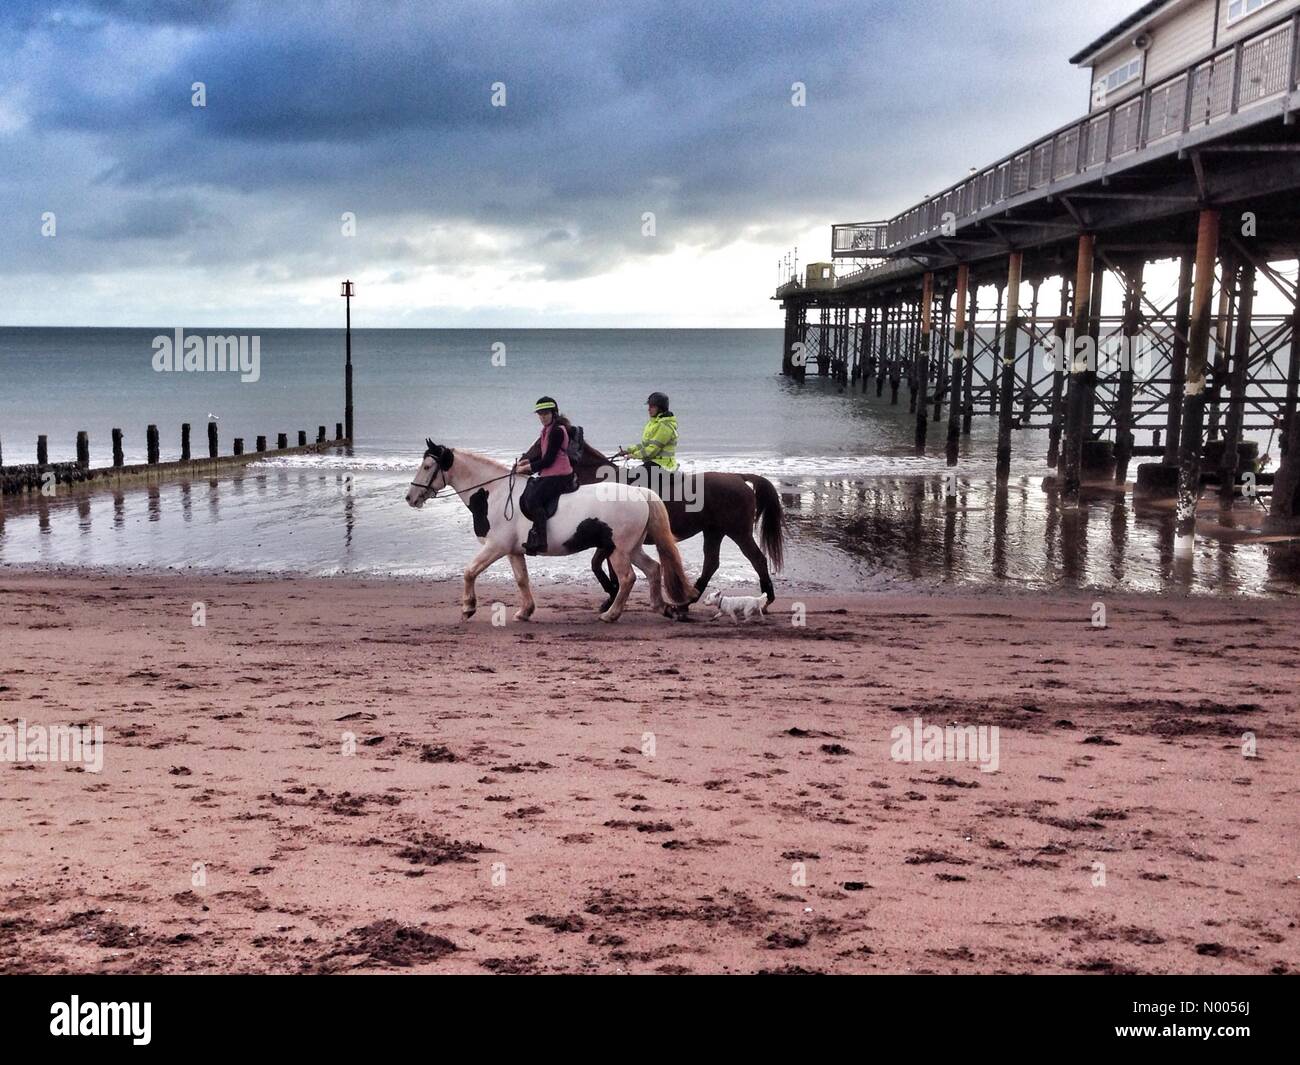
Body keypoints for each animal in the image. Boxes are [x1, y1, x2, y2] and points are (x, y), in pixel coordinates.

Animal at [405, 440, 691, 623]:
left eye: (428, 467)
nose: (410, 498)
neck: (494, 494)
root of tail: (641, 493)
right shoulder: (513, 551)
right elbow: (522, 579)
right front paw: (525, 611)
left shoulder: (495, 547)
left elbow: (469, 571)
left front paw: (467, 608)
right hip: (631, 548)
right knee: (653, 569)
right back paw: (661, 607)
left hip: (618, 550)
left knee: (628, 578)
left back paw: (611, 614)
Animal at [569, 443, 784, 612]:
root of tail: (739, 477)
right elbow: (601, 566)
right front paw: (611, 596)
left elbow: (599, 565)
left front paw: (611, 596)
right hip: (714, 532)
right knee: (711, 563)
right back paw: (687, 601)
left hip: (738, 532)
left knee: (757, 559)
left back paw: (766, 599)